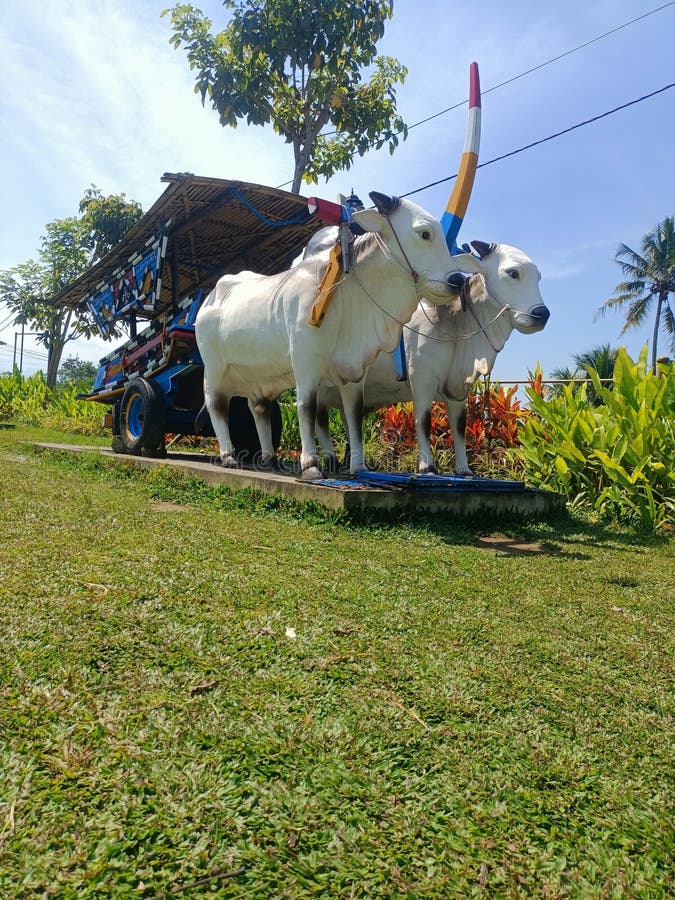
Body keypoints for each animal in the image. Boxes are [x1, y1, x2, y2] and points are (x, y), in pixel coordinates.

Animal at [195, 192, 476, 481]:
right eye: (424, 233)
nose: (457, 281)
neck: (350, 296)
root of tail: (209, 297)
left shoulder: (356, 369)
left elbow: (354, 415)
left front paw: (358, 466)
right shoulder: (305, 360)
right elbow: (306, 408)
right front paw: (311, 465)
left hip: (257, 378)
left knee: (259, 408)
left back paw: (269, 458)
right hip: (214, 369)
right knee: (217, 405)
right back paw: (228, 455)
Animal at [315, 240, 550, 475]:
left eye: (539, 277)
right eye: (513, 273)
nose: (542, 314)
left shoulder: (458, 389)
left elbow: (460, 425)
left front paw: (464, 470)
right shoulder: (422, 378)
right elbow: (423, 421)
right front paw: (427, 466)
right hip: (348, 378)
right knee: (344, 417)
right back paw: (350, 464)